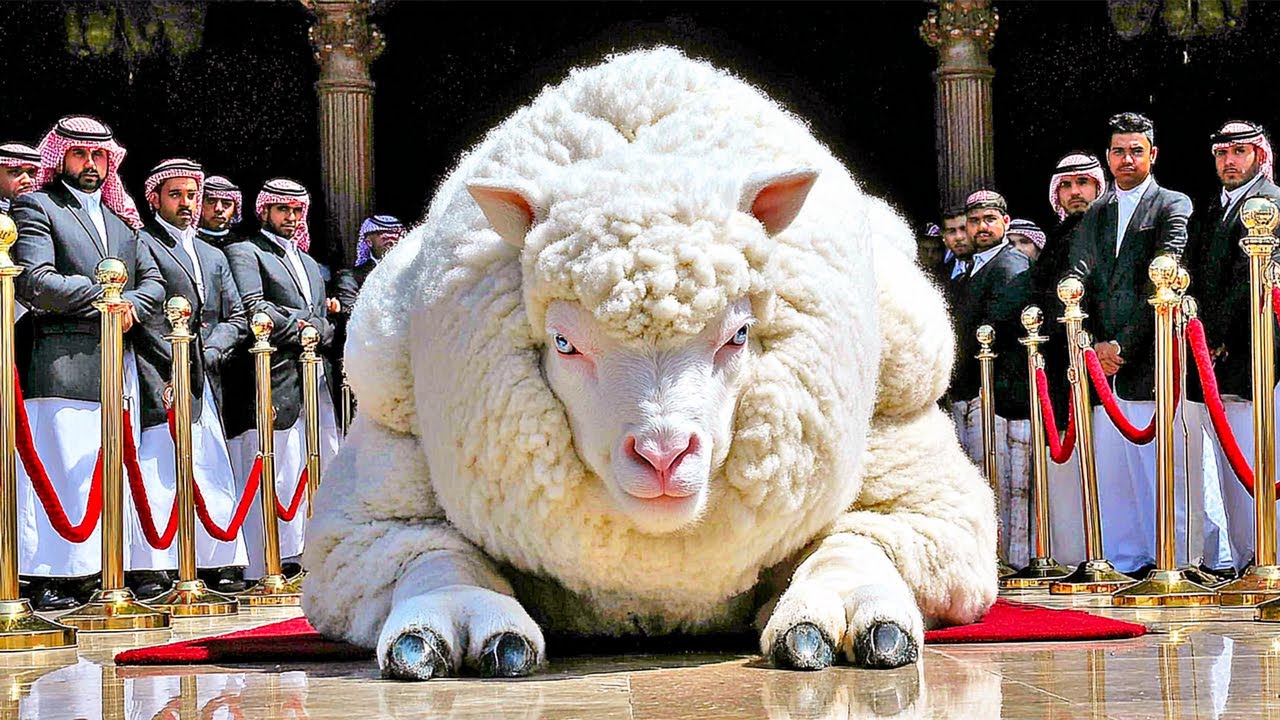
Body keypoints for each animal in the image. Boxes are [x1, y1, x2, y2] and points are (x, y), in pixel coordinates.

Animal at [302, 46, 997, 680]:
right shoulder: (366, 527)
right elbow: (432, 555)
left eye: (739, 333)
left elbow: (858, 541)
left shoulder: (920, 504)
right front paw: (456, 616)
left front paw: (847, 610)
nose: (664, 455)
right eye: (563, 343)